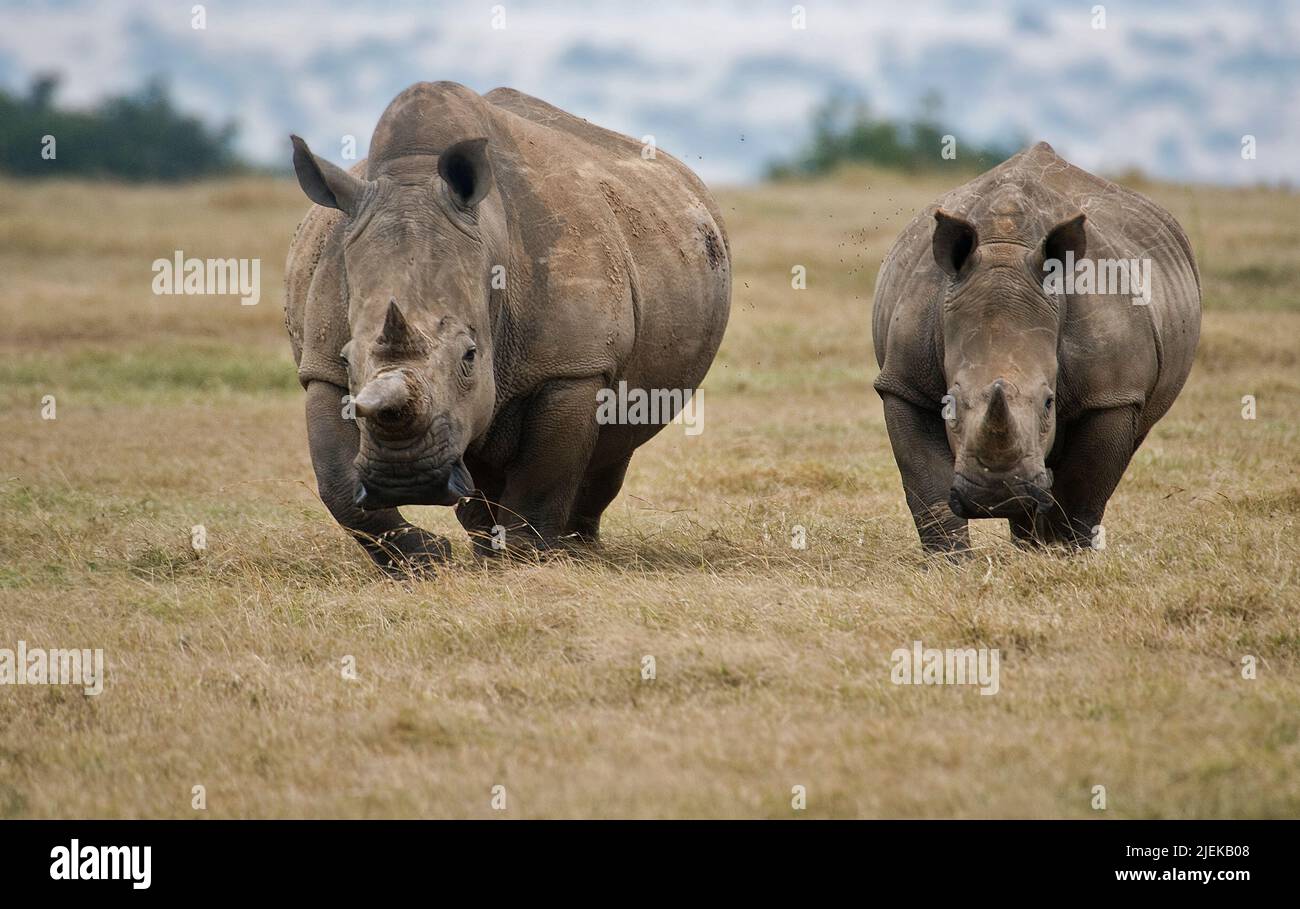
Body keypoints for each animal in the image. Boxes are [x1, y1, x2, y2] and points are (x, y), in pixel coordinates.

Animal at [284, 82, 730, 573]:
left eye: (470, 355)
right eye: (348, 359)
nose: (406, 479)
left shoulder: (573, 365)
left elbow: (544, 475)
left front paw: (526, 558)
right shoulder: (322, 365)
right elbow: (337, 481)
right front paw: (427, 560)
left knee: (614, 444)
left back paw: (575, 549)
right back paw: (487, 549)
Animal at [872, 142, 1200, 552]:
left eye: (1049, 402)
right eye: (950, 403)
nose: (997, 497)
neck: (1006, 248)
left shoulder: (1112, 394)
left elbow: (1082, 492)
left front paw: (1064, 554)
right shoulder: (905, 383)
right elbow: (927, 490)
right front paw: (949, 560)